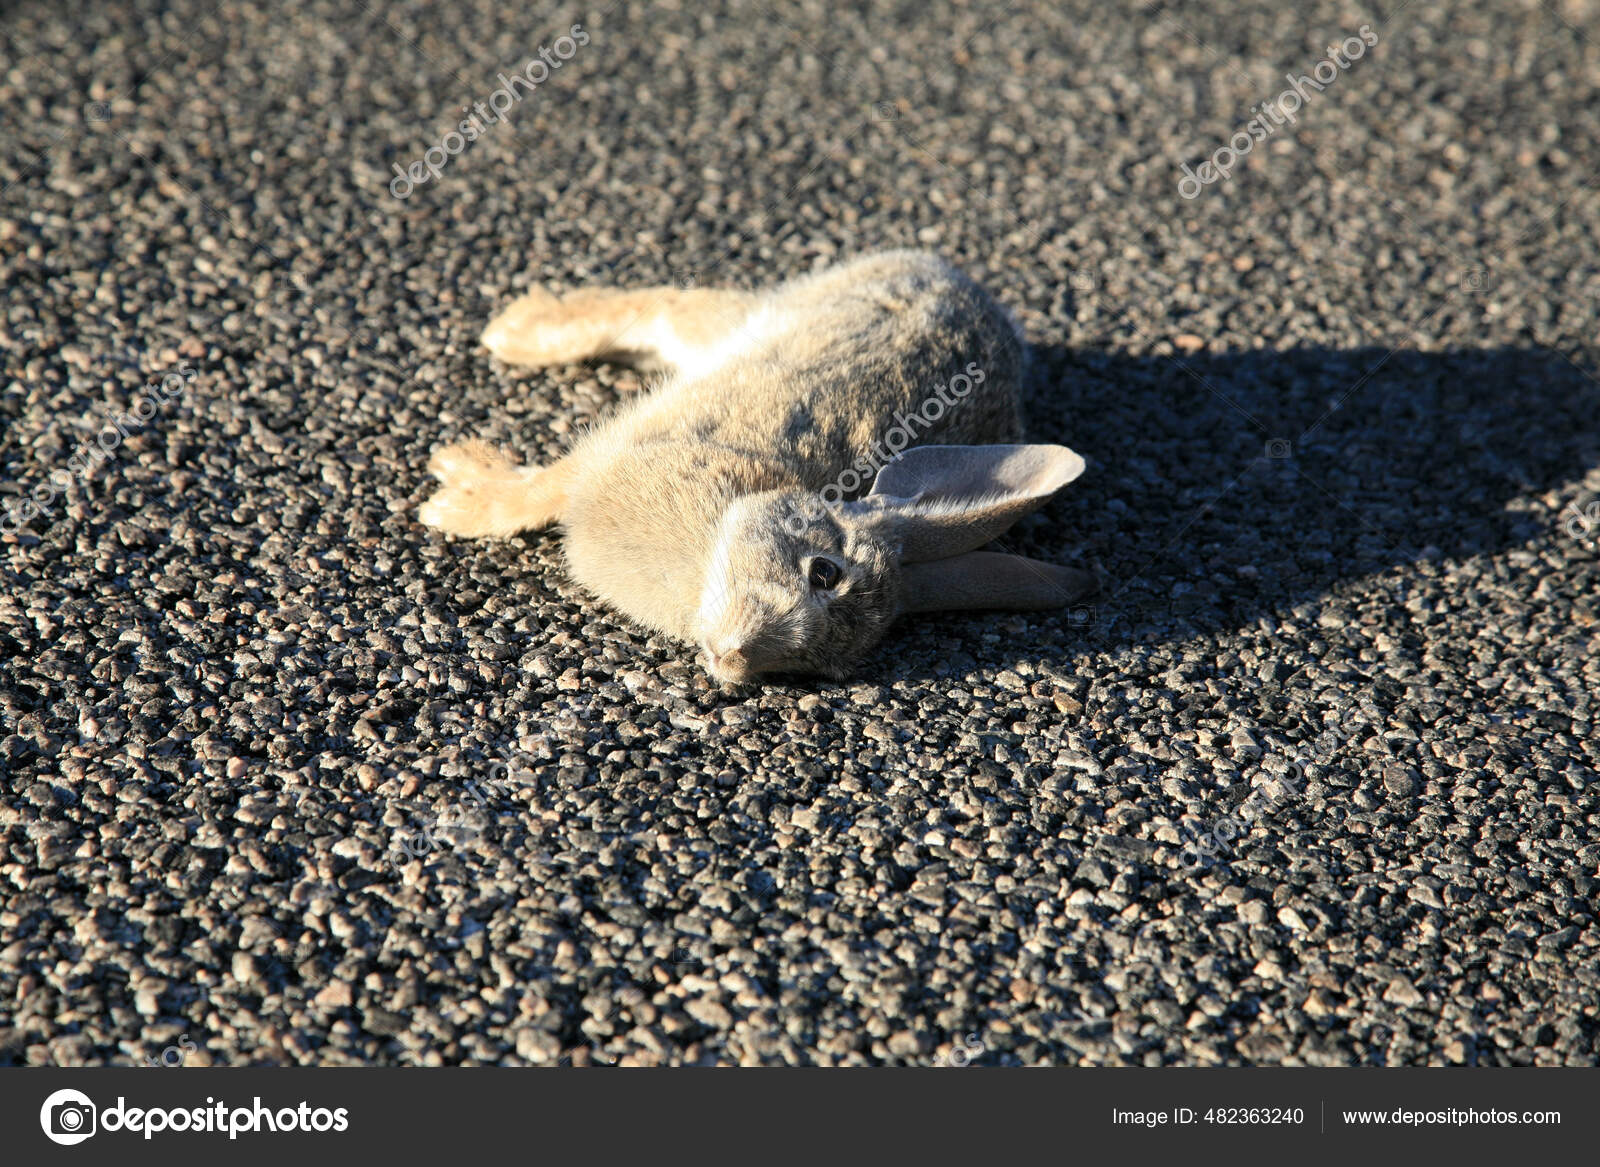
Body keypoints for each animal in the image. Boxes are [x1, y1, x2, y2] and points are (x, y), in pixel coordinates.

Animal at [419, 249, 1093, 683]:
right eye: (824, 572)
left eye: (818, 668)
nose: (735, 664)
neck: (726, 525)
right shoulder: (622, 448)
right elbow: (539, 491)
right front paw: (455, 499)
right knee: (660, 307)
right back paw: (515, 330)